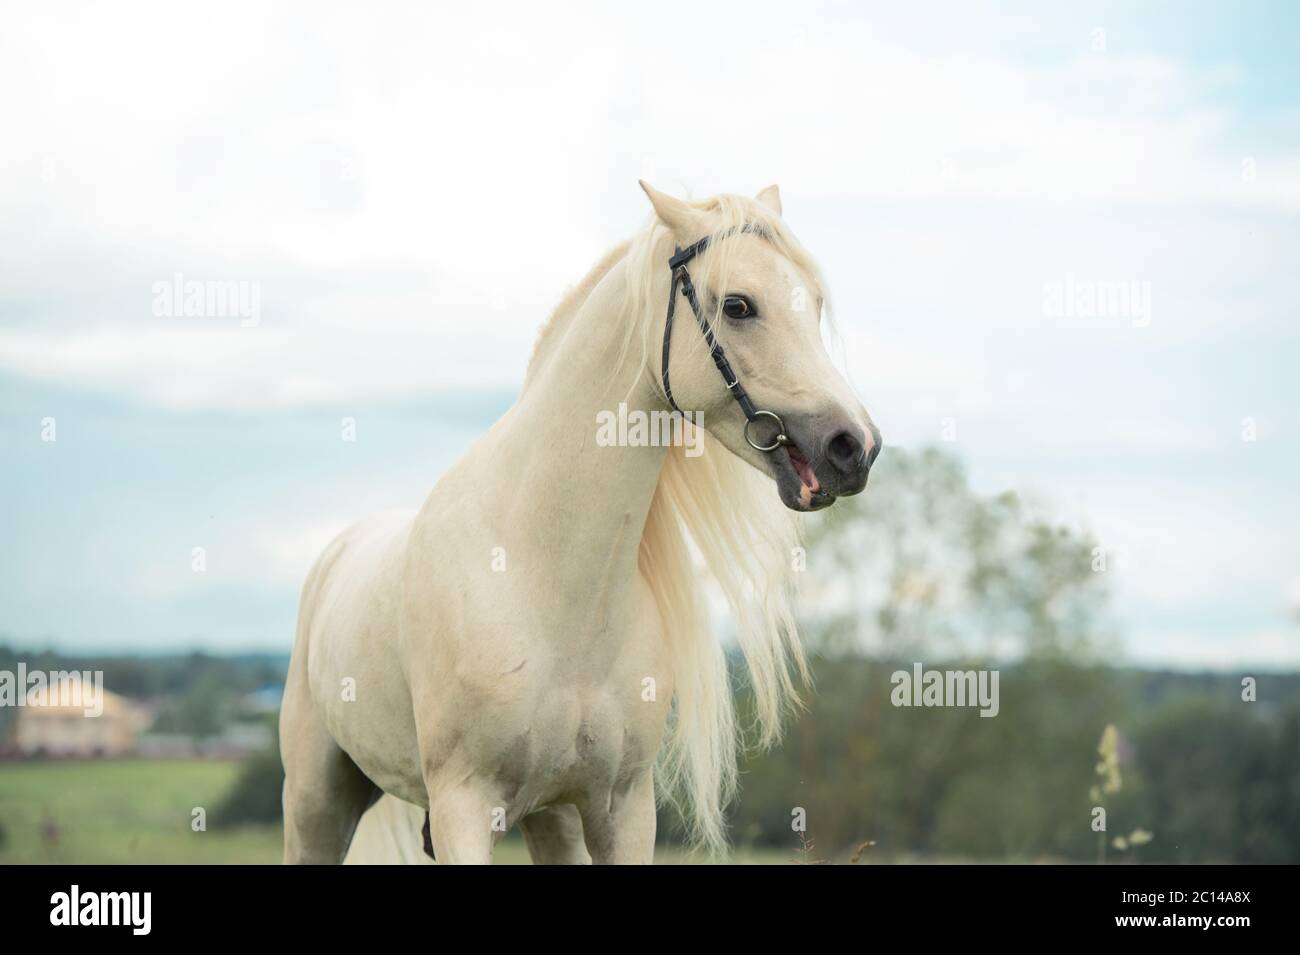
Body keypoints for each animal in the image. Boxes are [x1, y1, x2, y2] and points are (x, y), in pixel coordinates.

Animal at [279, 182, 881, 864]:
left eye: (815, 305)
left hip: (552, 817)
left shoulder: (623, 807)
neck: (547, 584)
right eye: (737, 305)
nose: (854, 447)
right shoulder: (464, 807)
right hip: (316, 804)